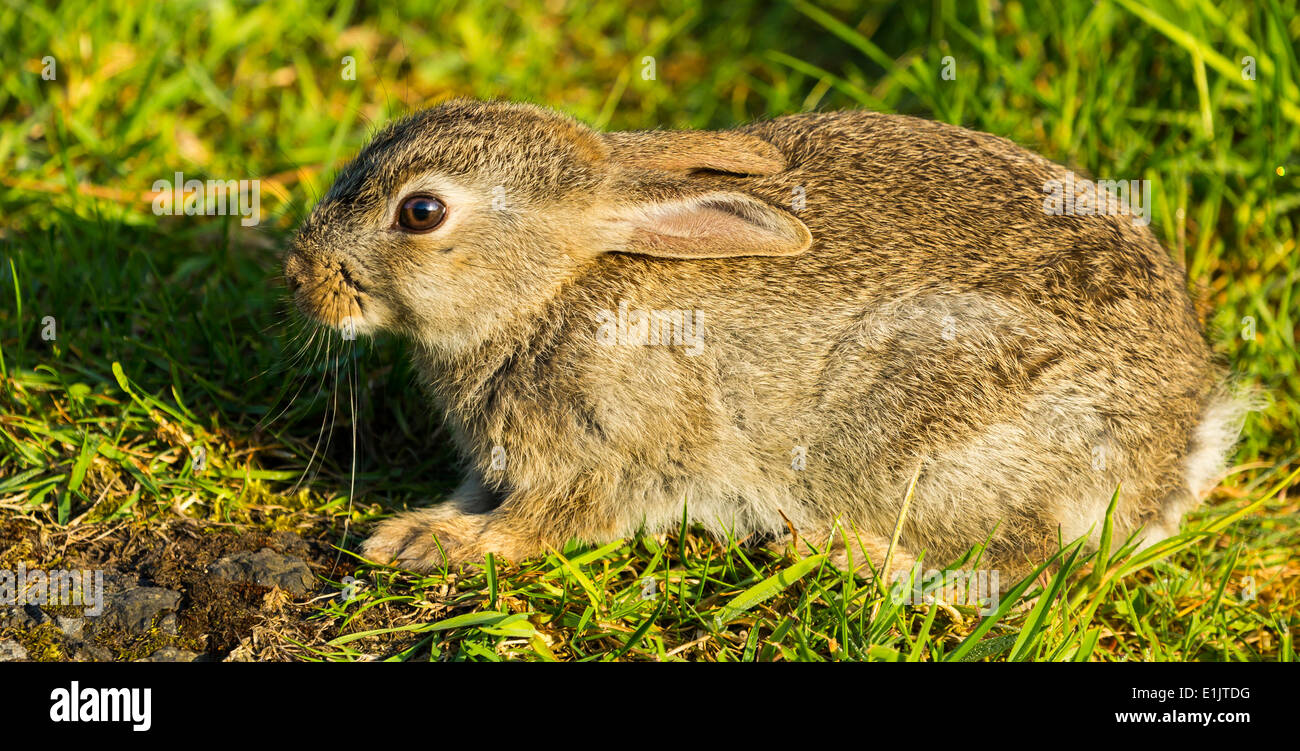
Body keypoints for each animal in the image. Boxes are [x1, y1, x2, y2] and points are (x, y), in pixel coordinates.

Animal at [283, 99, 1248, 583]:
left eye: (421, 212)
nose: (301, 274)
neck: (552, 283)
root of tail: (1173, 448)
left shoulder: (609, 449)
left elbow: (545, 522)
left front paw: (417, 546)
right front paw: (420, 527)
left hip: (924, 440)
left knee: (1014, 563)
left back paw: (839, 553)